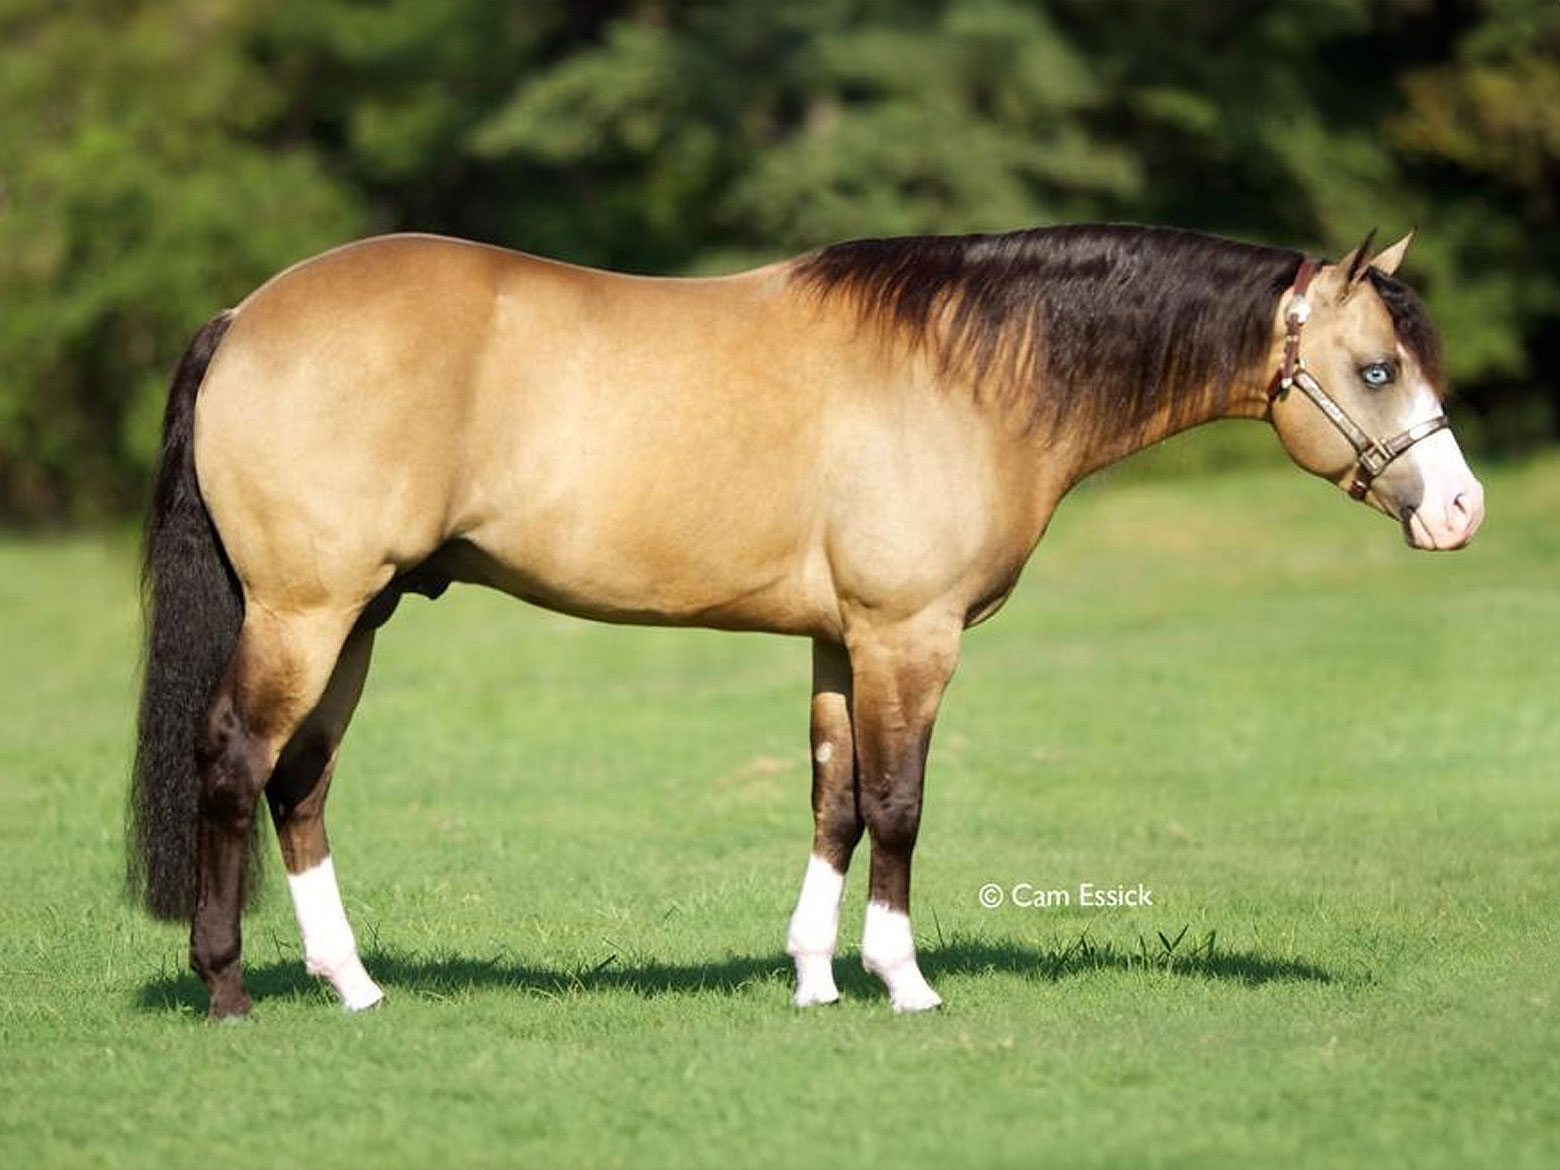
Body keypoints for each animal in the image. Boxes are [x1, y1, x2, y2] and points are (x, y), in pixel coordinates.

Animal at [127, 223, 1483, 1018]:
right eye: (1376, 370)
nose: (1461, 512)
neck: (964, 371)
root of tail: (244, 317)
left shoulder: (843, 642)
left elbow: (835, 802)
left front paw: (817, 979)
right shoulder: (909, 635)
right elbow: (900, 805)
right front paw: (902, 979)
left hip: (357, 617)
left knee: (299, 783)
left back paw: (352, 984)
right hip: (307, 612)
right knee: (234, 762)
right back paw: (228, 988)